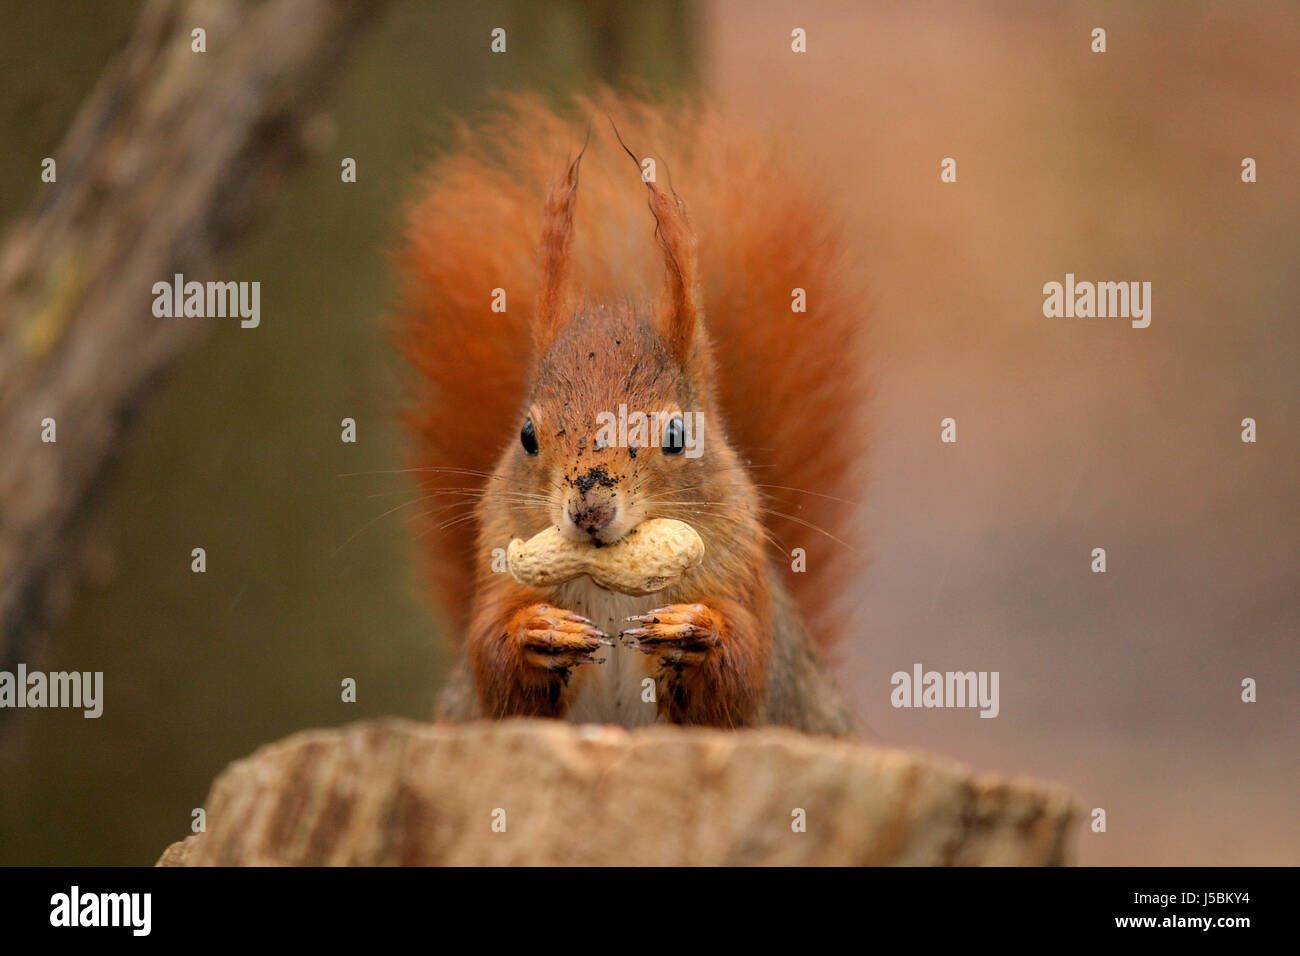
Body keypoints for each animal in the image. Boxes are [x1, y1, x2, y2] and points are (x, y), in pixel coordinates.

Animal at [395, 92, 869, 736]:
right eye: (527, 435)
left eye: (677, 433)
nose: (589, 509)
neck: (609, 577)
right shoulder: (498, 563)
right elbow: (494, 666)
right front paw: (538, 631)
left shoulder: (739, 570)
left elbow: (742, 675)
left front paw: (695, 629)